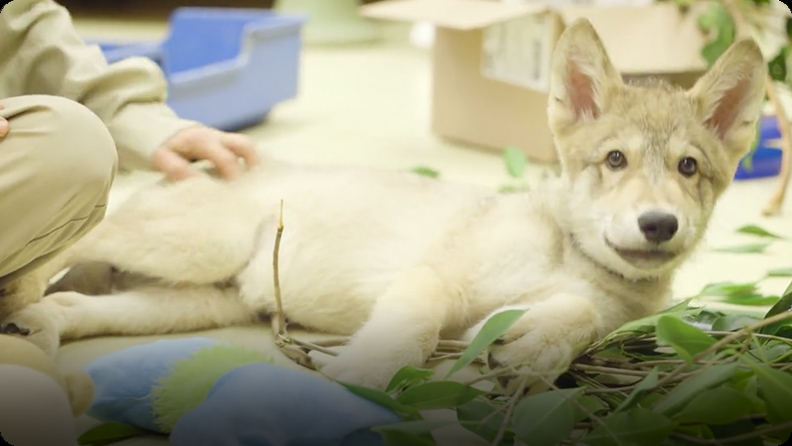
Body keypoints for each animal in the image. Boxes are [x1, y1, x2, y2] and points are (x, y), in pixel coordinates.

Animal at [0, 19, 767, 391]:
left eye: (689, 168)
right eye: (614, 161)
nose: (658, 225)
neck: (570, 252)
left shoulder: (576, 310)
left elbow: (568, 319)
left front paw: (530, 347)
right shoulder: (432, 278)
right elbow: (410, 332)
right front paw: (362, 379)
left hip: (197, 299)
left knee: (77, 304)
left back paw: (40, 324)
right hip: (182, 246)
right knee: (78, 240)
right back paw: (24, 290)